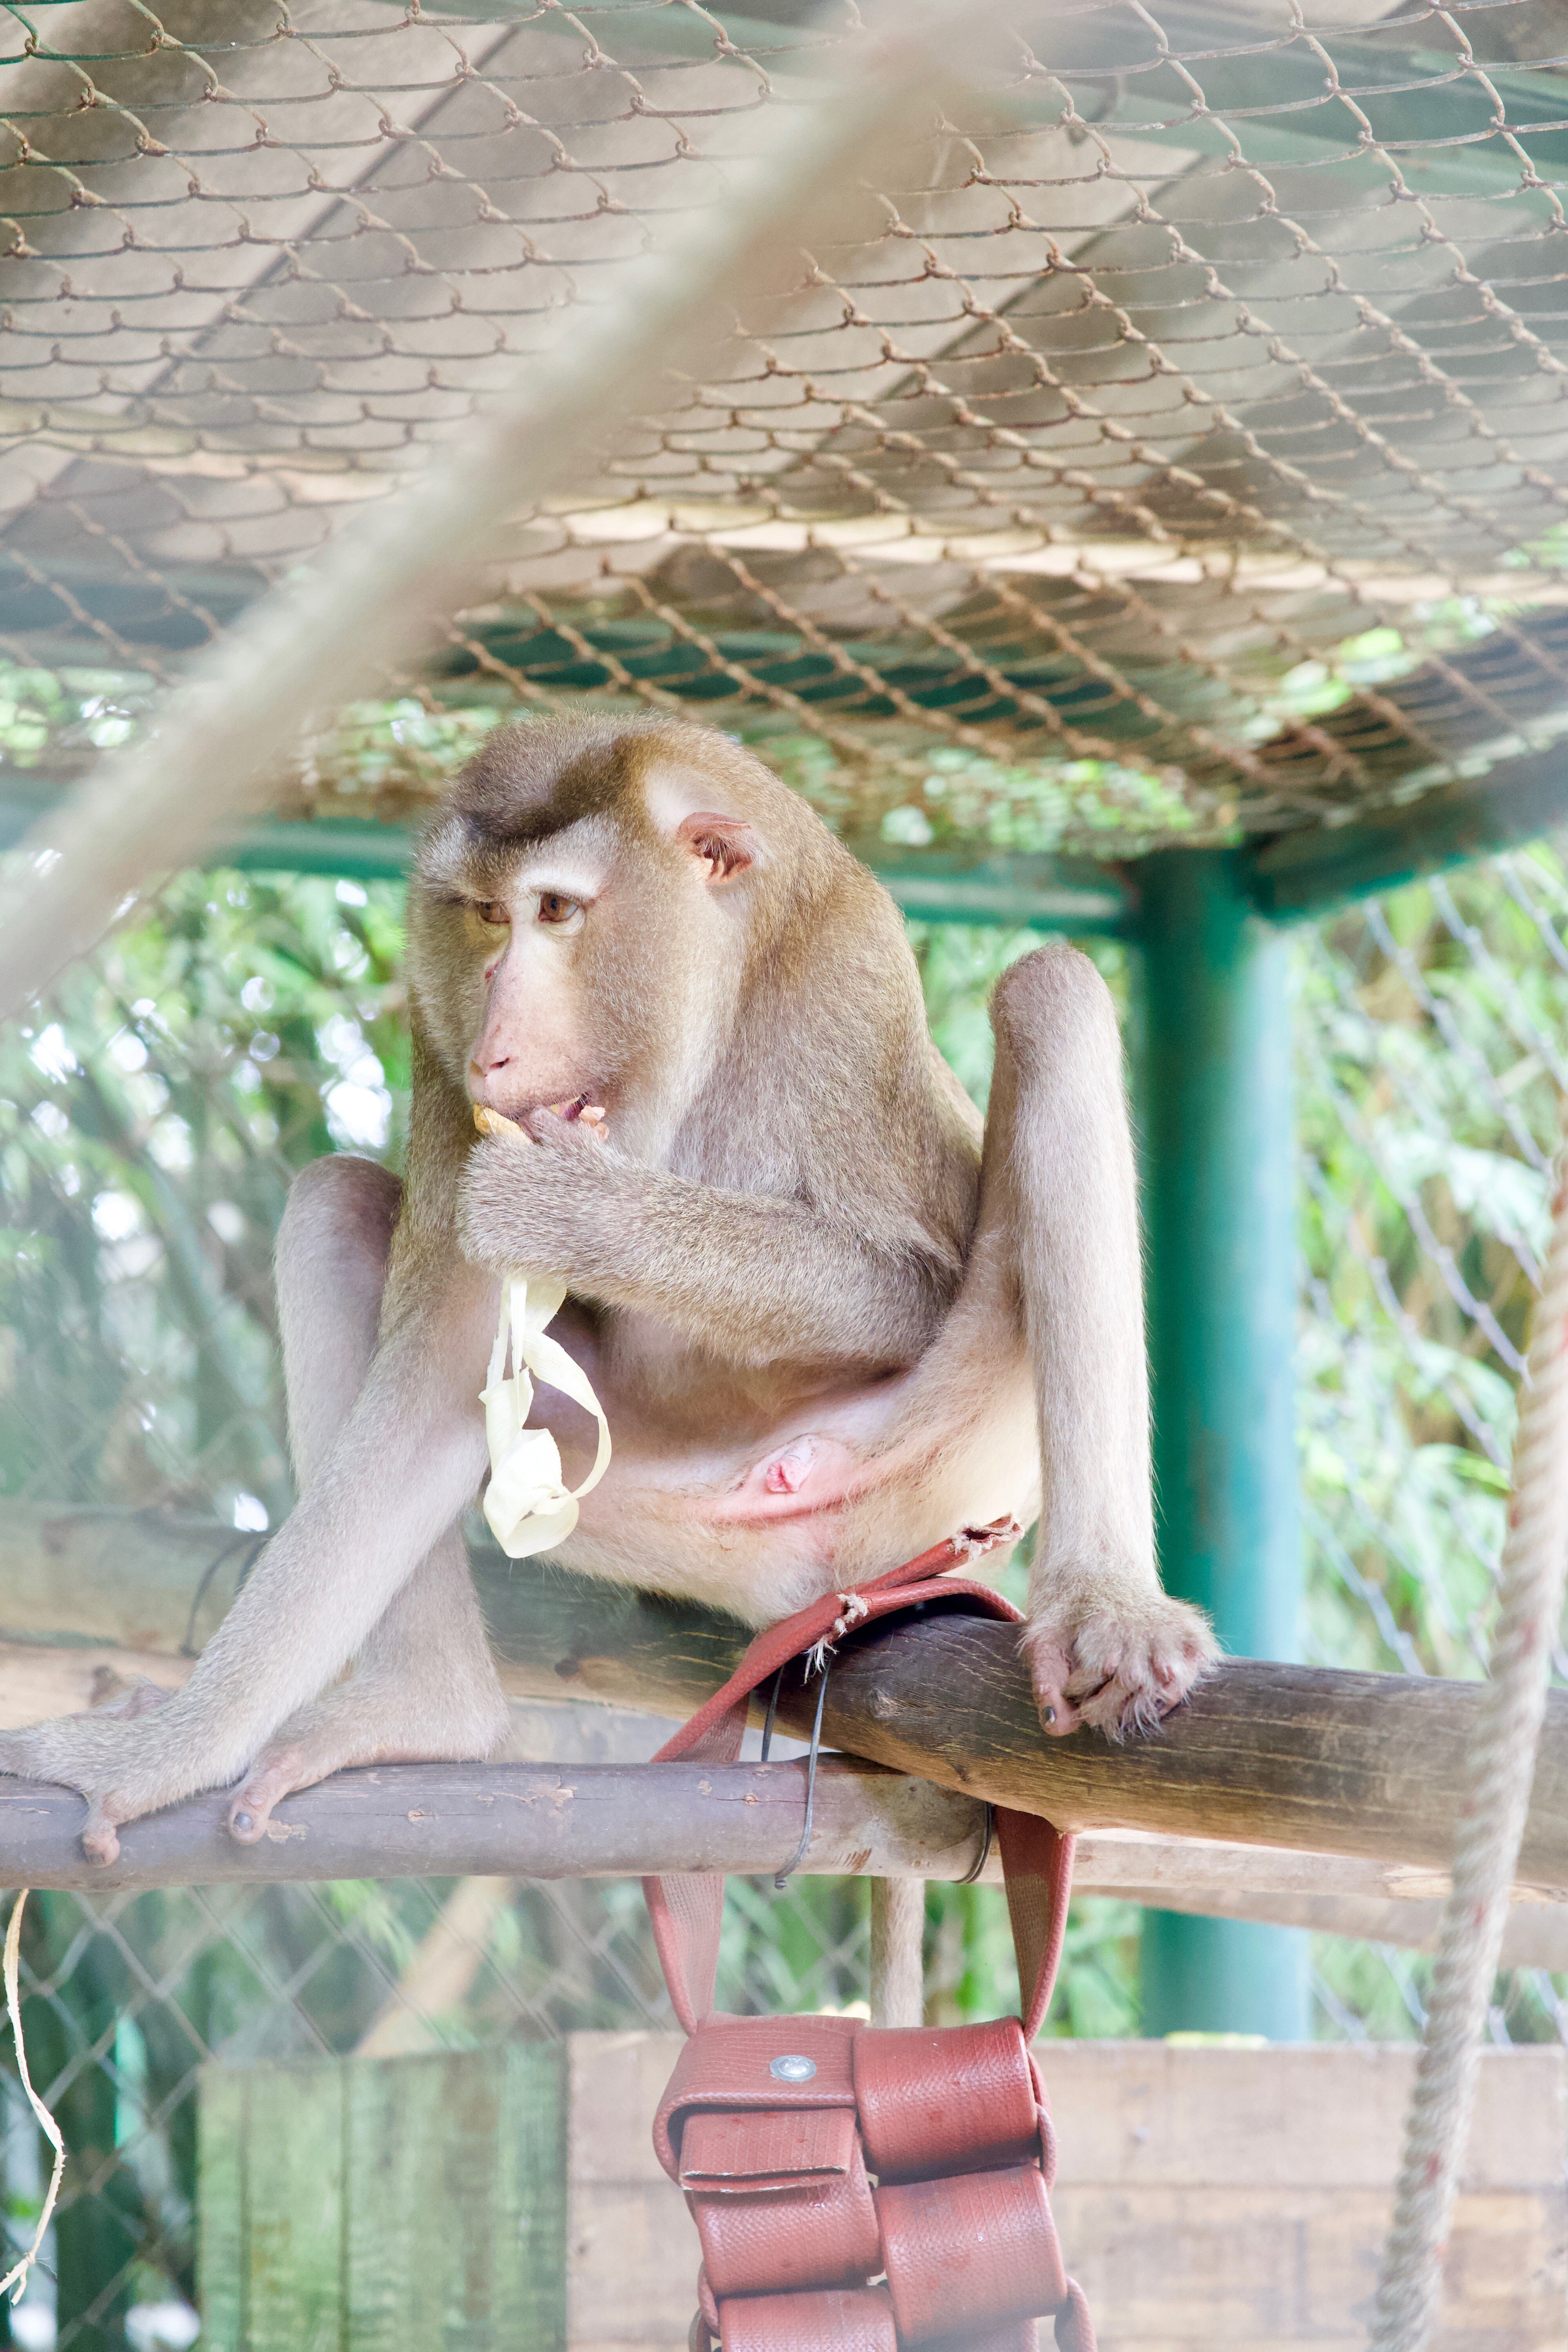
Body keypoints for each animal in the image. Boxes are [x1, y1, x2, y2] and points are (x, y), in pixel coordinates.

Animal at [0, 711, 1216, 1861]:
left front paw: (578, 1214)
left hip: (947, 1457)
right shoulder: (439, 1043)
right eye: (484, 917)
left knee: (1052, 994)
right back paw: (426, 1708)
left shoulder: (845, 972)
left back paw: (1105, 1607)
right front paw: (171, 1751)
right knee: (332, 1210)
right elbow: (438, 1367)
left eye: (558, 912)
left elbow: (908, 1285)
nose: (495, 1046)